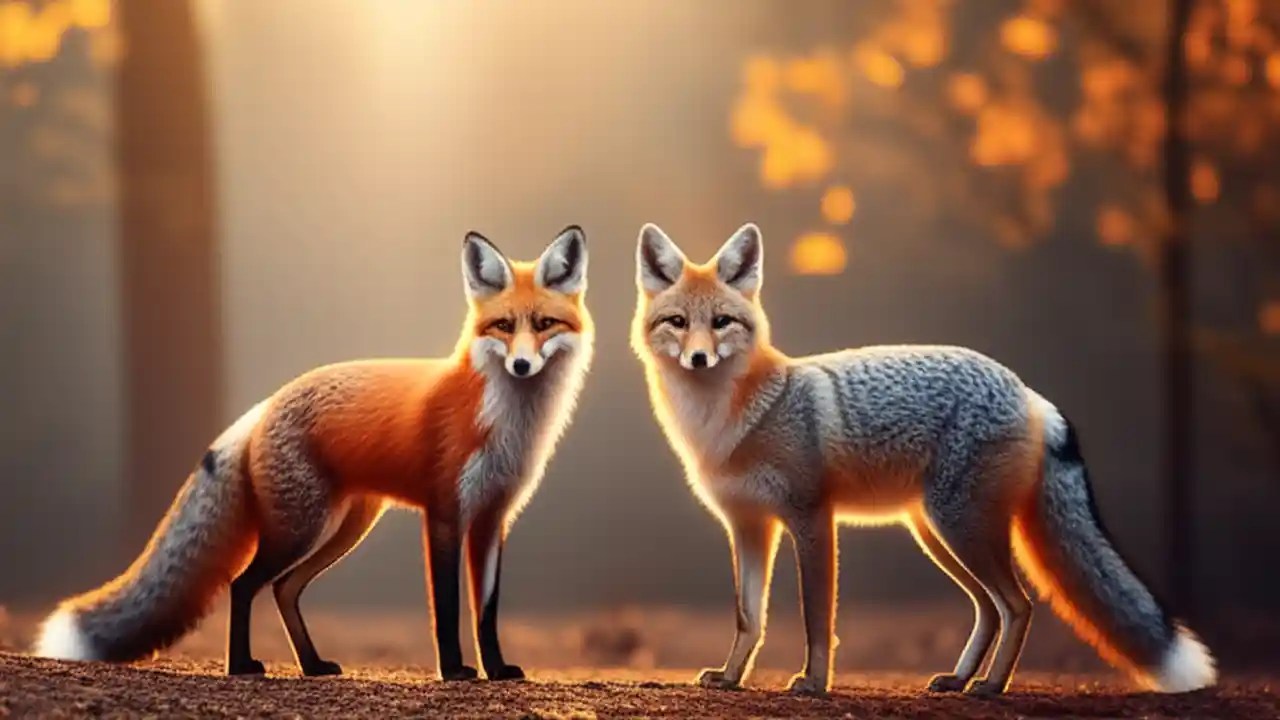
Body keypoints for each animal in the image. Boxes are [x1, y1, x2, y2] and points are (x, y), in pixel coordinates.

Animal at [33, 227, 593, 681]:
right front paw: (455, 672)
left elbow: (487, 613)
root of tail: (267, 403)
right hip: (300, 528)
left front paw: (495, 670)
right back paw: (241, 667)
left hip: (343, 529)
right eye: (503, 326)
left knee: (284, 589)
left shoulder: (493, 518)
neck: (506, 419)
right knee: (244, 584)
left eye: (544, 323)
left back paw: (311, 665)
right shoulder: (444, 513)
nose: (522, 366)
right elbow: (449, 607)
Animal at [631, 222, 1216, 697]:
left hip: (960, 527)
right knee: (990, 608)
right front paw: (731, 678)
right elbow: (748, 617)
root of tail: (1027, 391)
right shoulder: (749, 526)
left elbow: (817, 617)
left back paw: (990, 688)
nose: (699, 358)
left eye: (722, 322)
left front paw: (814, 684)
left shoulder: (811, 518)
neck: (729, 419)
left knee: (1019, 605)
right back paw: (960, 678)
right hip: (937, 533)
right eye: (678, 322)